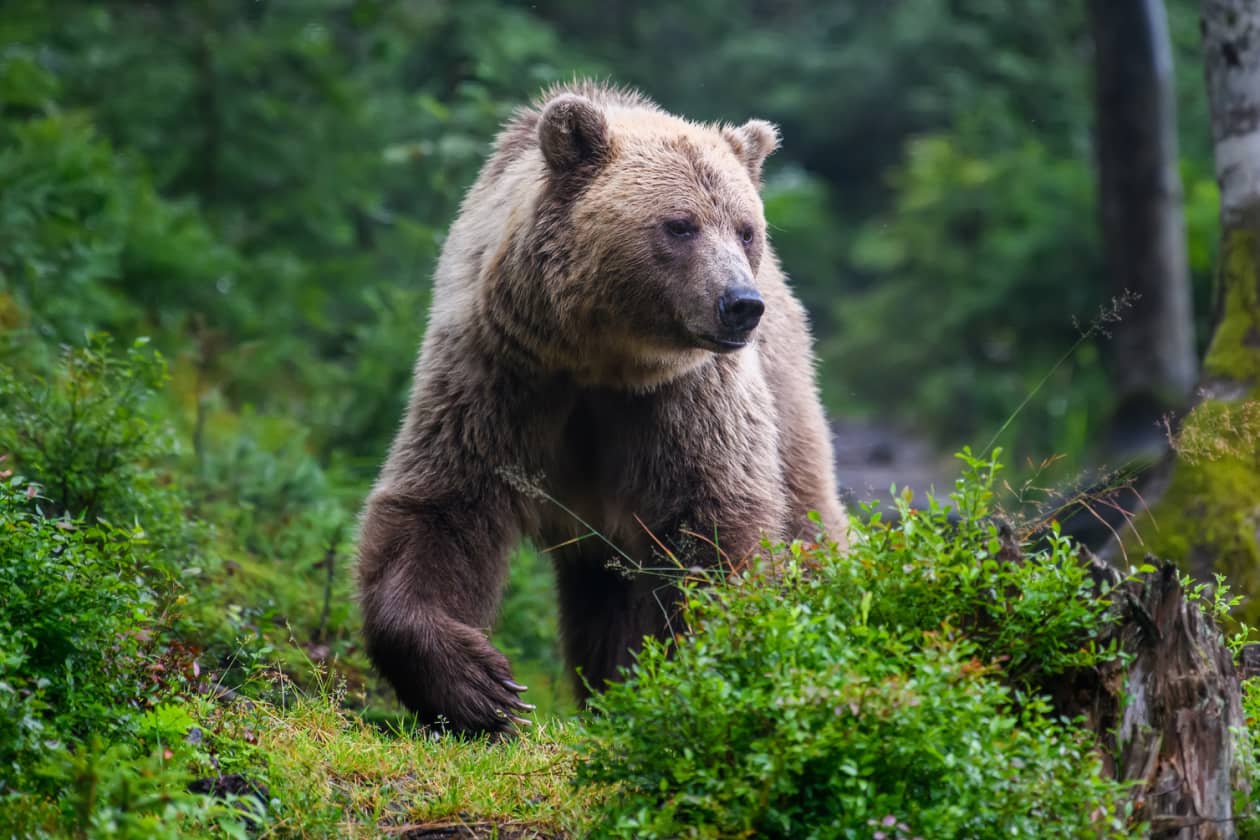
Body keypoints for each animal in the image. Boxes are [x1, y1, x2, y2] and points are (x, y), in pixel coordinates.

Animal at [357, 81, 848, 736]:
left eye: (746, 229)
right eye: (680, 225)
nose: (741, 304)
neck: (601, 359)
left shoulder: (685, 400)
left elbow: (716, 522)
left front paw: (695, 668)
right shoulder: (501, 373)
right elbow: (443, 503)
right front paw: (483, 687)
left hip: (788, 401)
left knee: (808, 519)